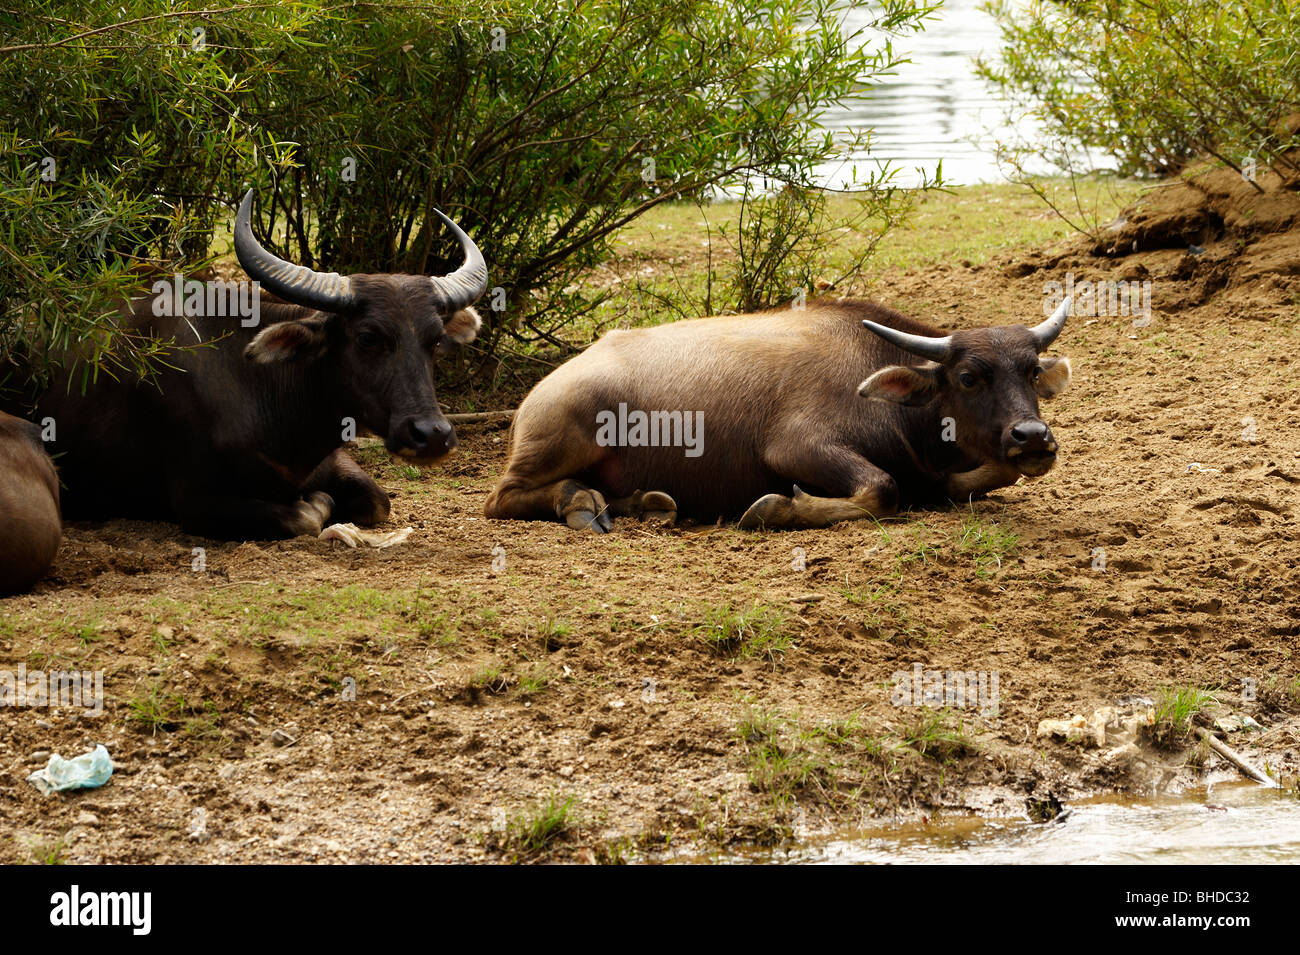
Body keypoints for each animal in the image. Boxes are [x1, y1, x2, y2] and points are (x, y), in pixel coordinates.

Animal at [34, 190, 487, 540]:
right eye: (368, 337)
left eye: (434, 340)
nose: (431, 435)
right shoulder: (197, 501)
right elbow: (303, 515)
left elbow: (377, 501)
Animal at [484, 296, 1073, 531]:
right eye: (969, 377)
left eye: (1030, 373)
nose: (1033, 437)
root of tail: (538, 393)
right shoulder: (797, 446)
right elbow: (883, 490)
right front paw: (776, 508)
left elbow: (979, 477)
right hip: (558, 441)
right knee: (500, 499)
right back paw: (580, 502)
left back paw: (645, 502)